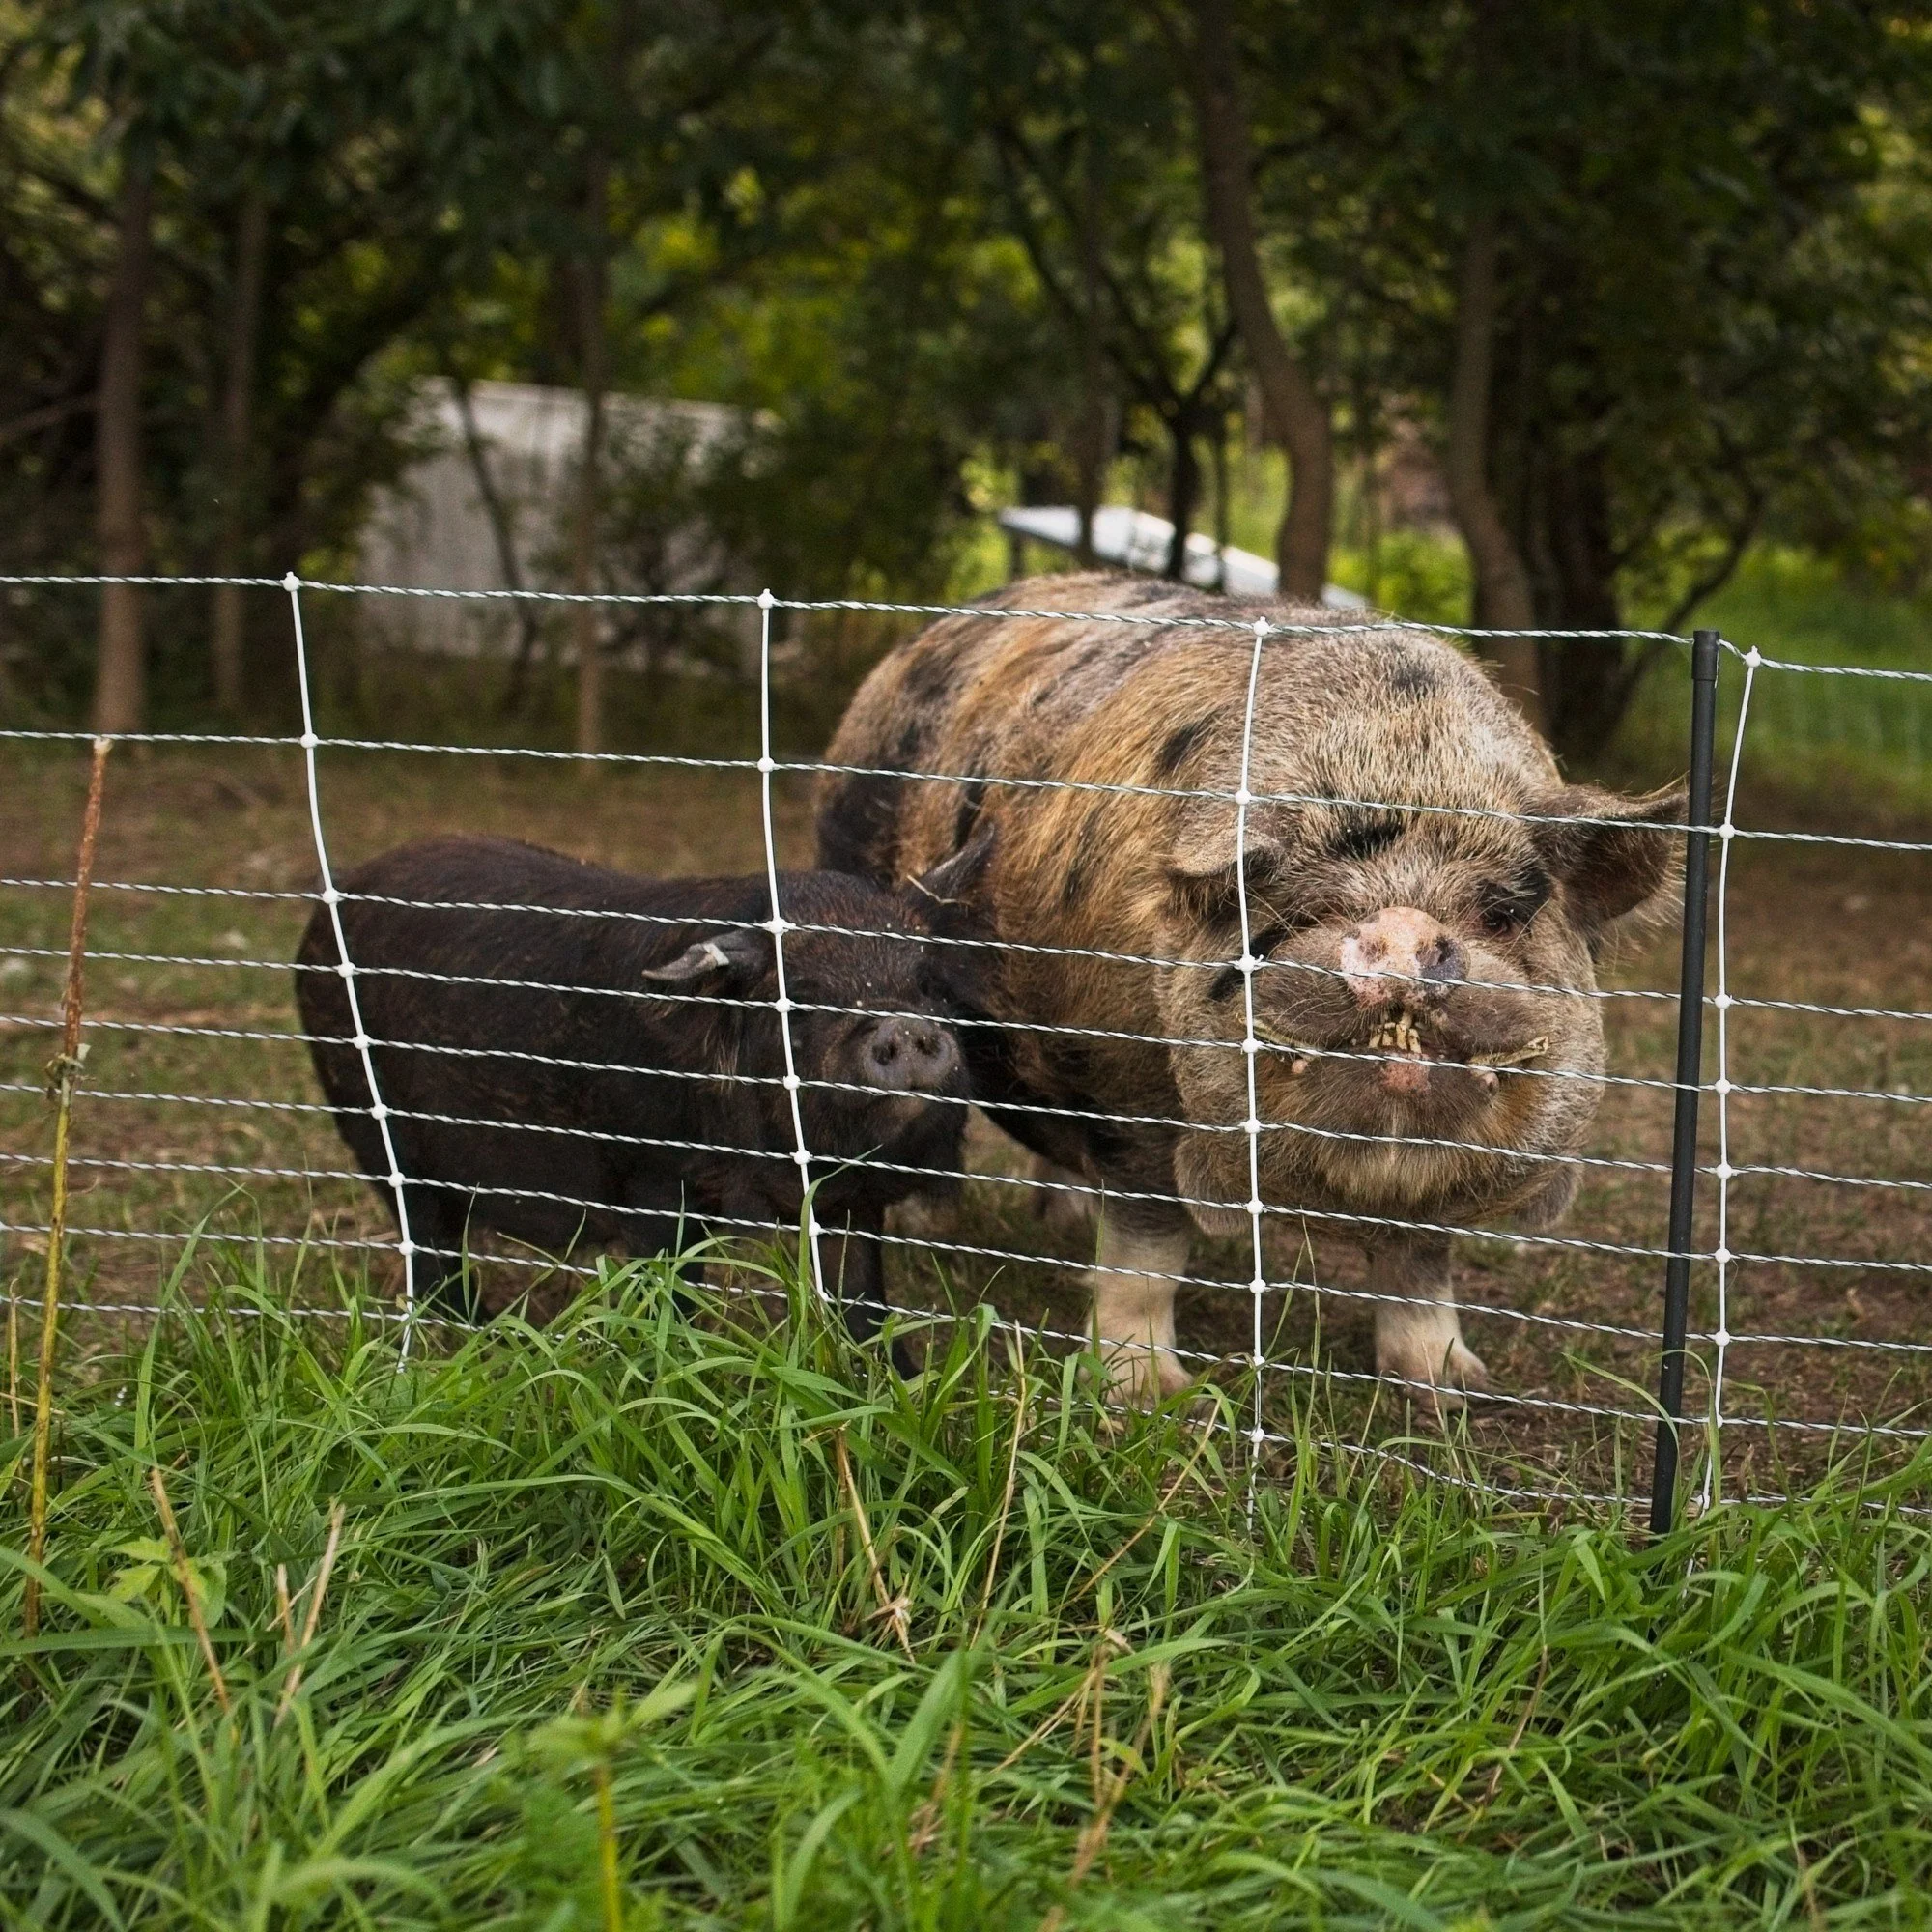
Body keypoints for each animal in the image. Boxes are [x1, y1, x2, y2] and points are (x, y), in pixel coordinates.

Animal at [296, 834, 987, 1353]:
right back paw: (495, 1338)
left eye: (928, 983)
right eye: (802, 995)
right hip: (371, 1125)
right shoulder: (650, 1177)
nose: (905, 1026)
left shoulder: (850, 1200)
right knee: (428, 1245)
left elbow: (862, 1299)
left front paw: (900, 1380)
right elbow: (671, 1289)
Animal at [816, 574, 1682, 1404]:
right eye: (1306, 911)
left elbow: (1419, 1264)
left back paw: (1061, 1218)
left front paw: (1458, 1393)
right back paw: (932, 1220)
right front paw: (1150, 1397)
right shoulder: (1123, 1083)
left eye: (1501, 915)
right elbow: (1148, 1247)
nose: (1403, 930)